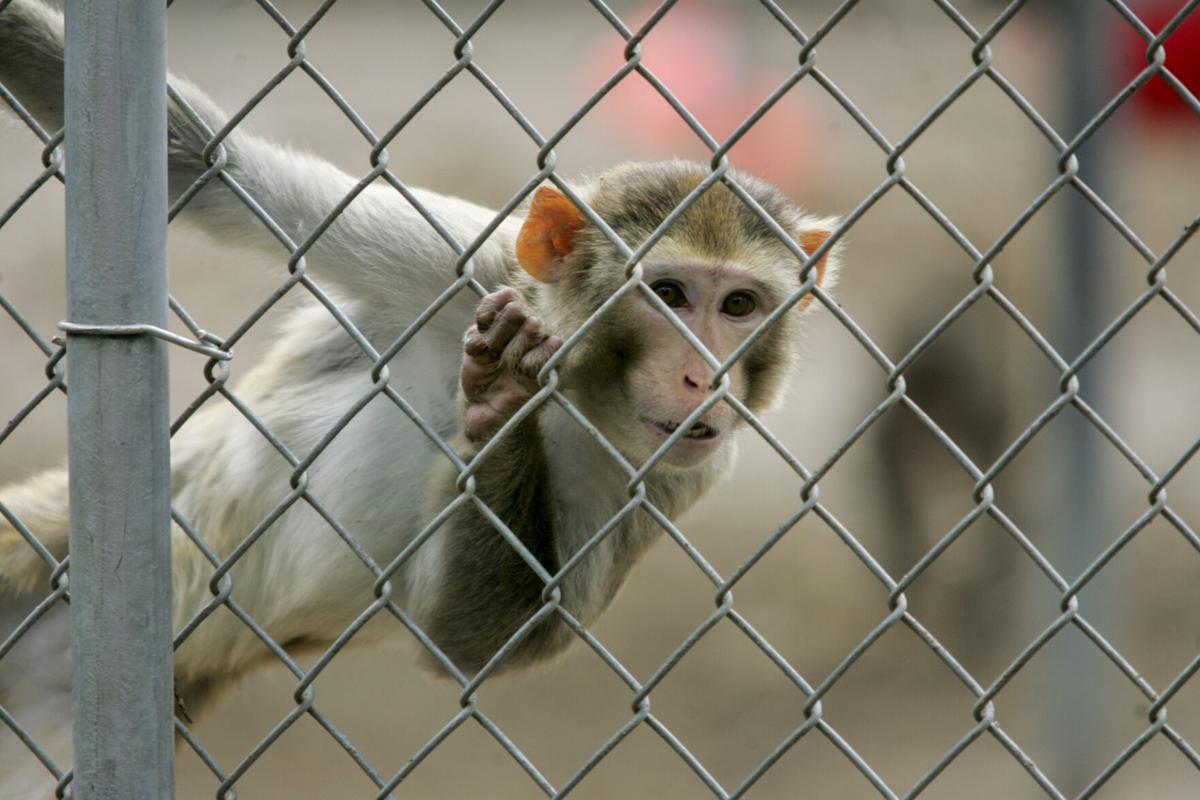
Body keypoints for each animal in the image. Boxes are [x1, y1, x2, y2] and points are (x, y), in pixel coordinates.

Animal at [0, 0, 841, 790]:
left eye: (740, 306)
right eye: (668, 295)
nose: (705, 375)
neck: (577, 386)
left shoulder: (682, 474)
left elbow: (472, 644)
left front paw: (501, 407)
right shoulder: (460, 261)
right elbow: (209, 172)